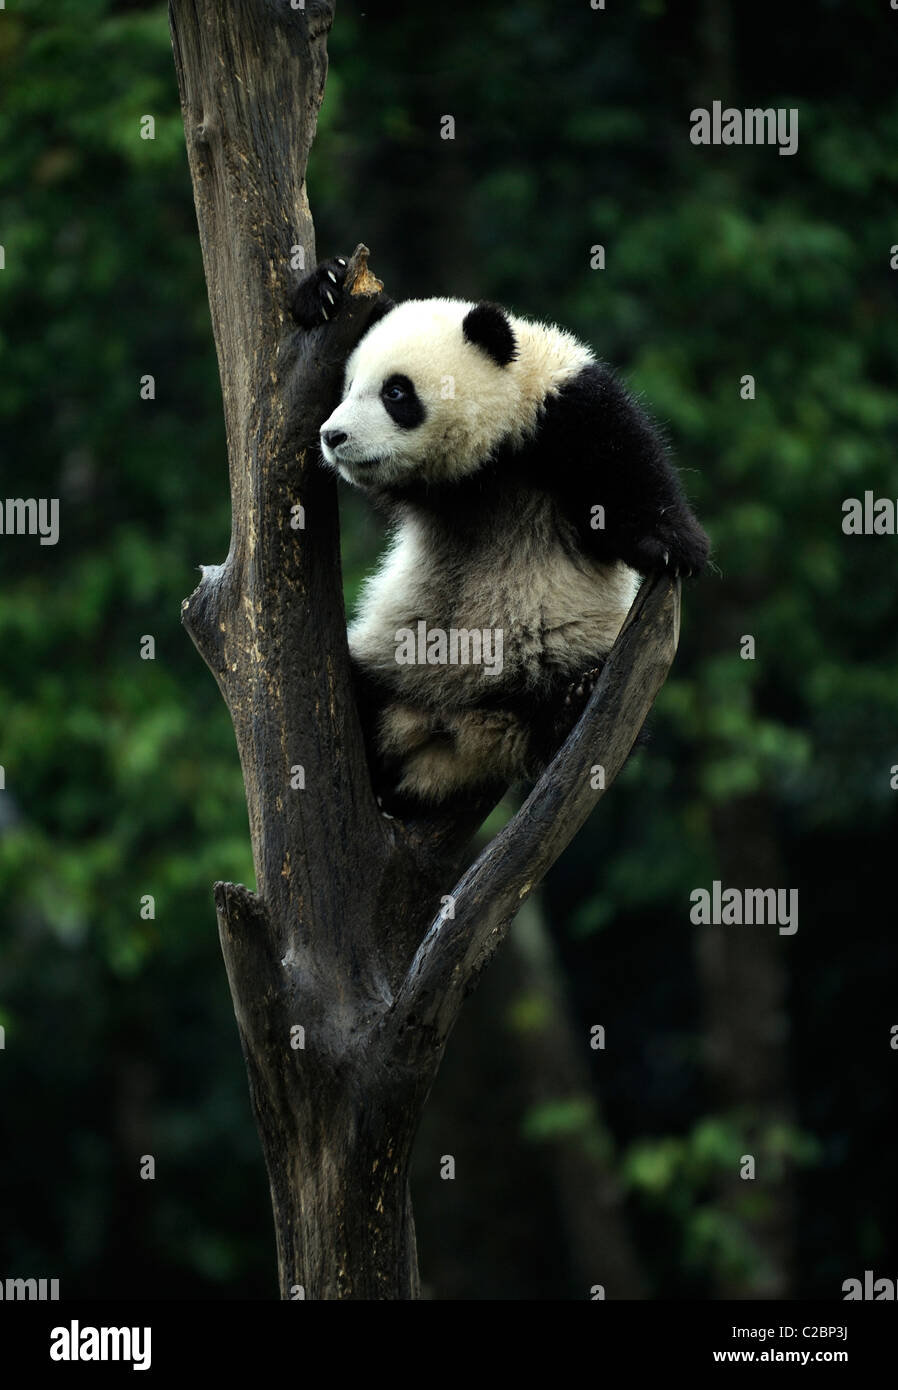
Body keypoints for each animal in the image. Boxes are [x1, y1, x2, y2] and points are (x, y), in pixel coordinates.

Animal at [292, 256, 709, 809]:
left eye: (395, 392)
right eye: (345, 389)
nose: (332, 436)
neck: (488, 457)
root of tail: (452, 735)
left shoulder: (564, 410)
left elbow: (626, 470)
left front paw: (672, 547)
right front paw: (326, 287)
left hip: (563, 651)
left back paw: (572, 704)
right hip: (391, 656)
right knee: (364, 688)